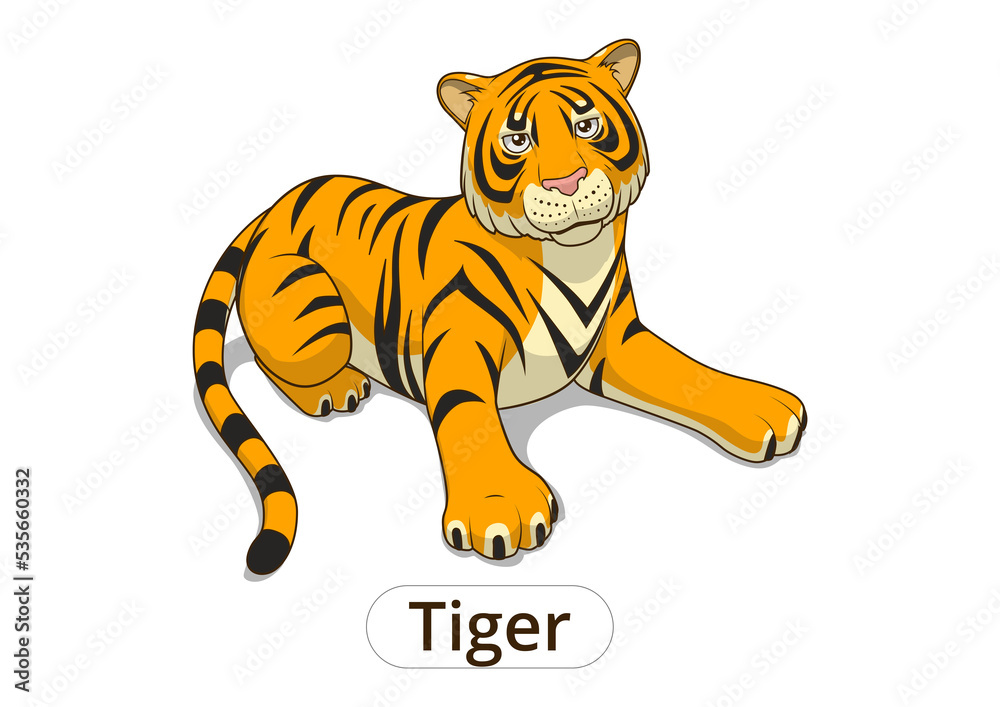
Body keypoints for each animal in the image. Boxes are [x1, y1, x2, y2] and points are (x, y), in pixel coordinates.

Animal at [193, 39, 806, 575]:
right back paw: (334, 388)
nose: (567, 182)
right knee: (278, 362)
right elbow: (468, 414)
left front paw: (762, 407)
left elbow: (683, 371)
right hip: (314, 312)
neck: (573, 256)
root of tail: (273, 204)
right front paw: (500, 505)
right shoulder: (459, 345)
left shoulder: (617, 339)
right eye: (517, 139)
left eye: (587, 126)